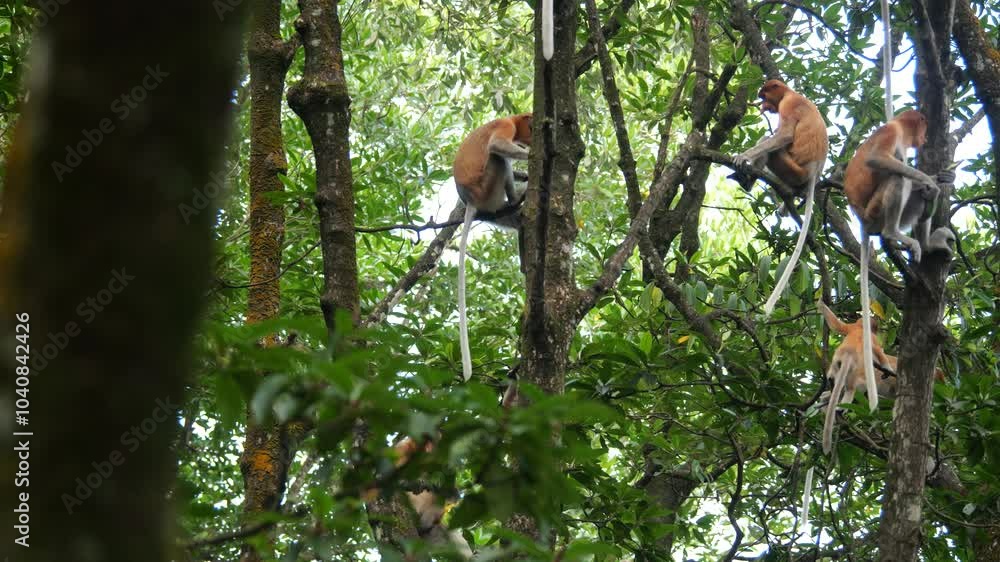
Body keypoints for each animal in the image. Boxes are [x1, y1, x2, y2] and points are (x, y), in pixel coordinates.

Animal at [453, 113, 532, 382]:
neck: (511, 119)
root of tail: (470, 201)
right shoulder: (505, 126)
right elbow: (498, 146)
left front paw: (525, 174)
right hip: (488, 187)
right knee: (499, 158)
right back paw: (517, 198)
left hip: (493, 210)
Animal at [732, 80, 829, 317]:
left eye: (765, 95)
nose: (763, 105)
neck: (790, 92)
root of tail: (813, 174)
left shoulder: (789, 104)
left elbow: (784, 135)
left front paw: (743, 156)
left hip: (792, 169)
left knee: (771, 141)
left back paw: (749, 180)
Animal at [843, 109, 955, 415]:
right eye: (922, 127)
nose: (924, 138)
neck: (902, 133)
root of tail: (862, 224)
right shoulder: (890, 132)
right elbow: (878, 159)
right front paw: (930, 180)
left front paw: (943, 177)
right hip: (876, 210)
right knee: (900, 179)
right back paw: (895, 232)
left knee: (918, 196)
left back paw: (929, 244)